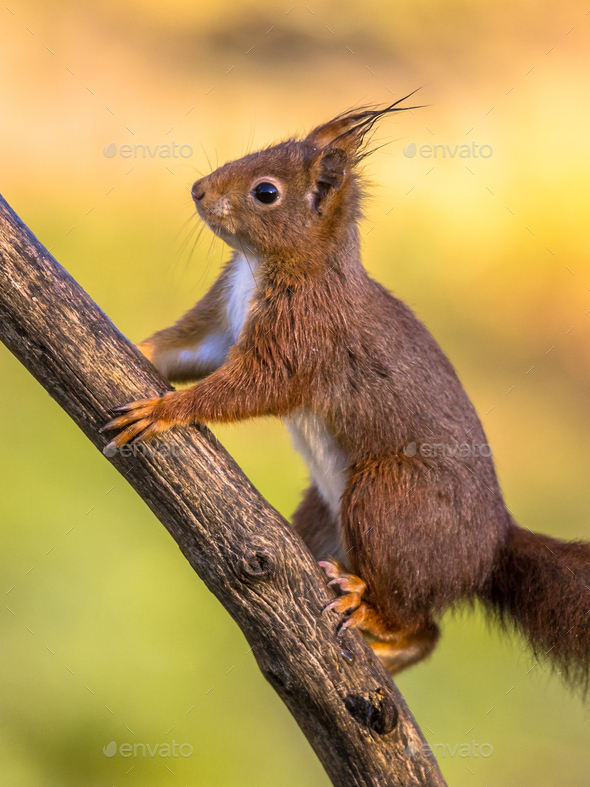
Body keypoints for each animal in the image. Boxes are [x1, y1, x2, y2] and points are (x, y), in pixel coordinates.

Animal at [103, 100, 590, 683]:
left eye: (266, 192)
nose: (198, 190)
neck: (261, 266)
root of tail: (492, 549)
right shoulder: (222, 322)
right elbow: (191, 350)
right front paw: (132, 345)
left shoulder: (304, 335)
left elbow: (254, 387)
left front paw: (165, 409)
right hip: (322, 518)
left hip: (389, 502)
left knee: (418, 619)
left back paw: (376, 617)